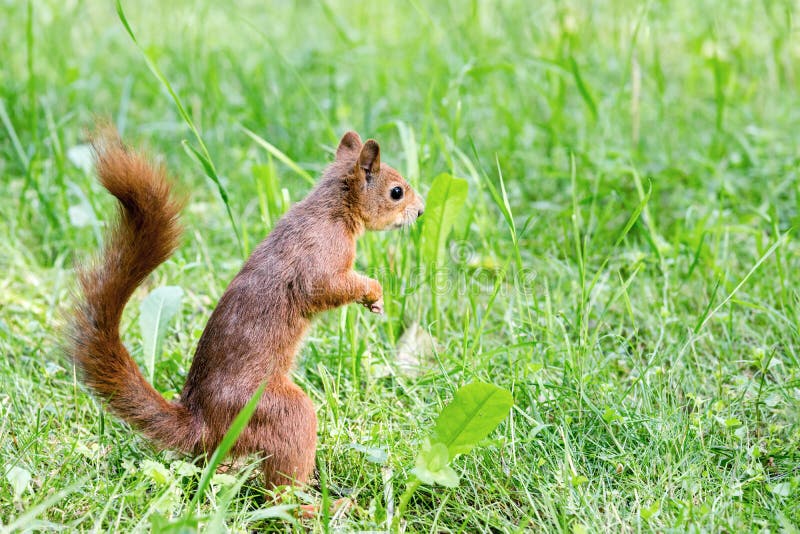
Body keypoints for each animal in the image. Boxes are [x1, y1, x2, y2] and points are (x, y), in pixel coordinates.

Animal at [69, 126, 425, 488]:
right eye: (397, 192)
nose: (421, 211)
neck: (333, 210)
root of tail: (203, 424)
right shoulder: (322, 257)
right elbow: (324, 287)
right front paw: (373, 292)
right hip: (274, 413)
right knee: (281, 483)